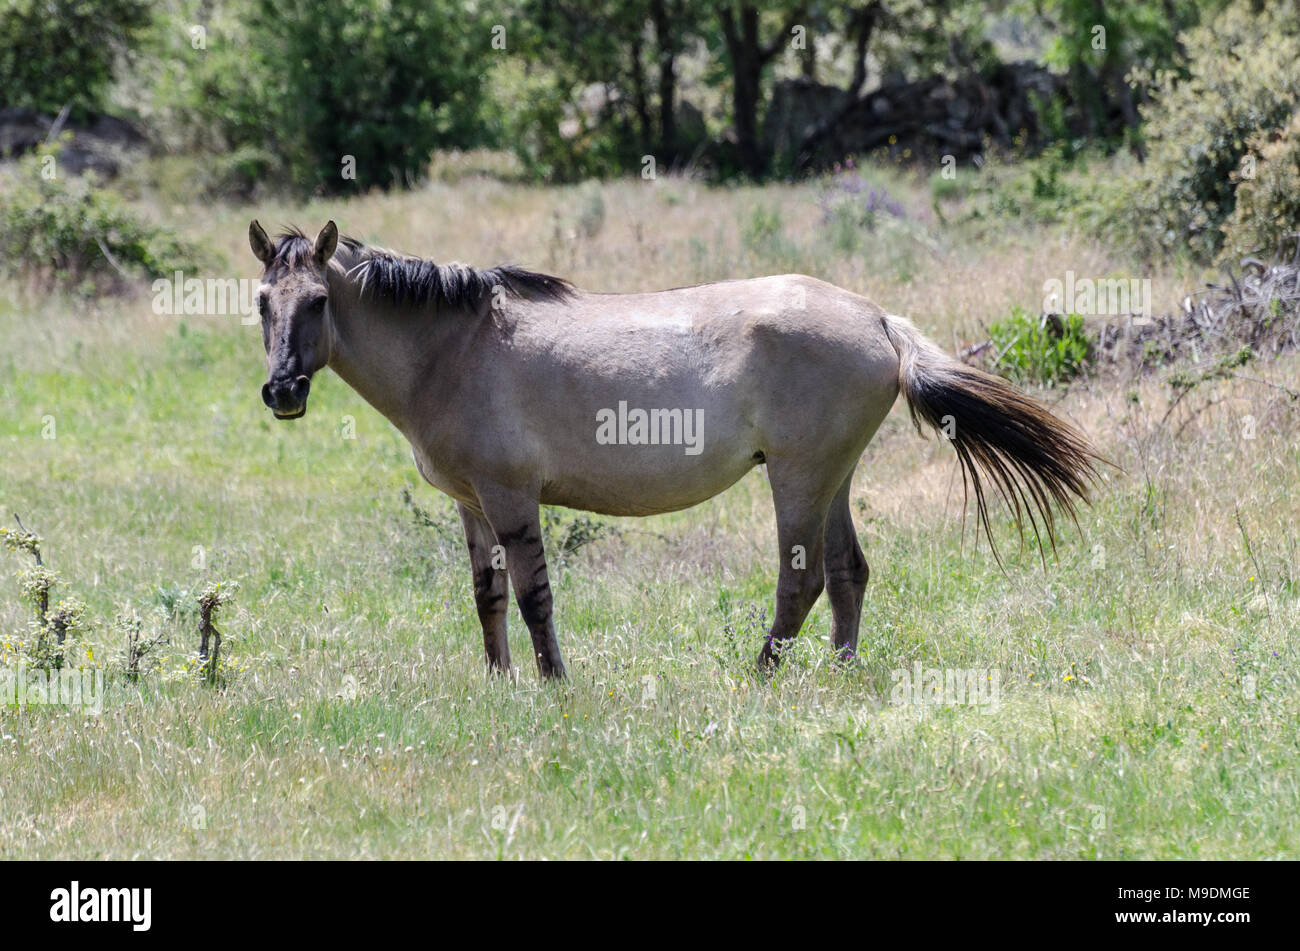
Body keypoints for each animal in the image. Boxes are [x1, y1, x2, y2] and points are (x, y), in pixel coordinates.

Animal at [248, 219, 1099, 680]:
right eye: (262, 301)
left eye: (318, 301)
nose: (282, 391)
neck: (455, 348)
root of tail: (878, 317)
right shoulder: (470, 503)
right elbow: (485, 597)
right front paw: (498, 681)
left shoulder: (511, 497)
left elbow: (532, 595)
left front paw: (554, 683)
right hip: (833, 478)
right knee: (849, 573)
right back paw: (840, 671)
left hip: (798, 478)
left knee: (802, 581)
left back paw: (760, 675)